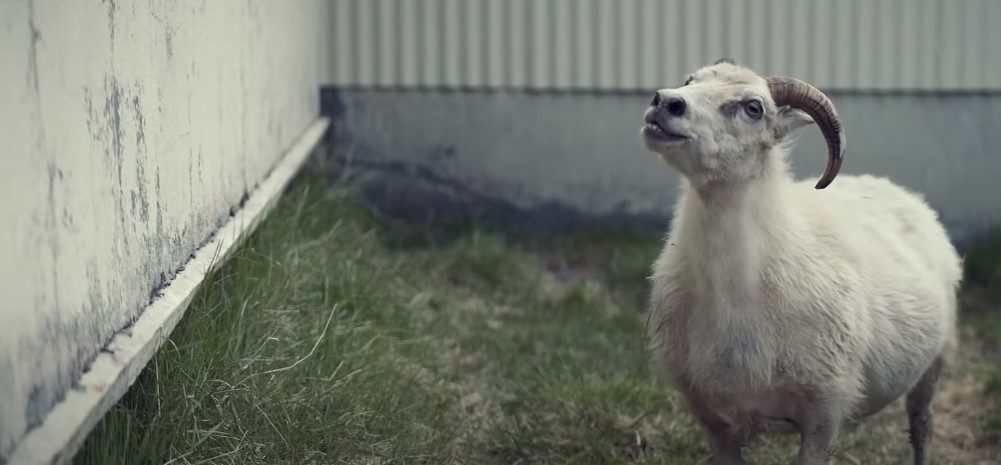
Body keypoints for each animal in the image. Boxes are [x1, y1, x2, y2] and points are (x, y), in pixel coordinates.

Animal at [642, 60, 962, 465]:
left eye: (754, 108)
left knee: (922, 426)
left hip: (935, 361)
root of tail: (892, 186)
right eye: (690, 81)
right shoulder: (712, 417)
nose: (665, 102)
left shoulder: (824, 411)